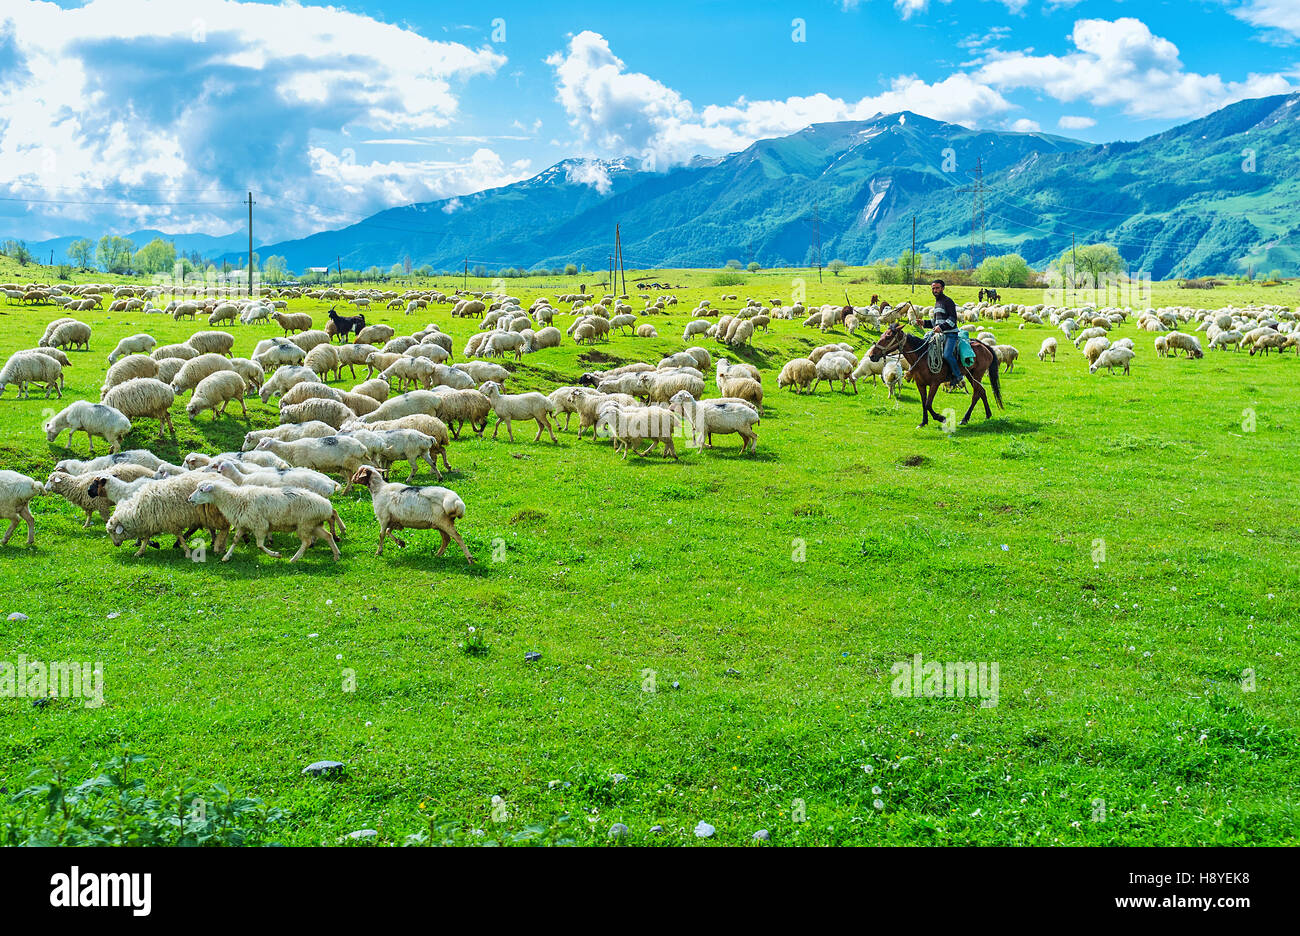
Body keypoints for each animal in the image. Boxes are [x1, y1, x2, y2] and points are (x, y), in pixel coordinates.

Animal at [188, 481, 339, 563]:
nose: (189, 498)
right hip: (313, 525)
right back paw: (336, 555)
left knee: (306, 542)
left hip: (304, 524)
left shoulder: (260, 525)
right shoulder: (244, 524)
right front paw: (226, 556)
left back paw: (293, 559)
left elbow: (260, 545)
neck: (234, 499)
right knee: (328, 536)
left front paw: (276, 554)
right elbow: (235, 540)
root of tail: (327, 505)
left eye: (201, 490)